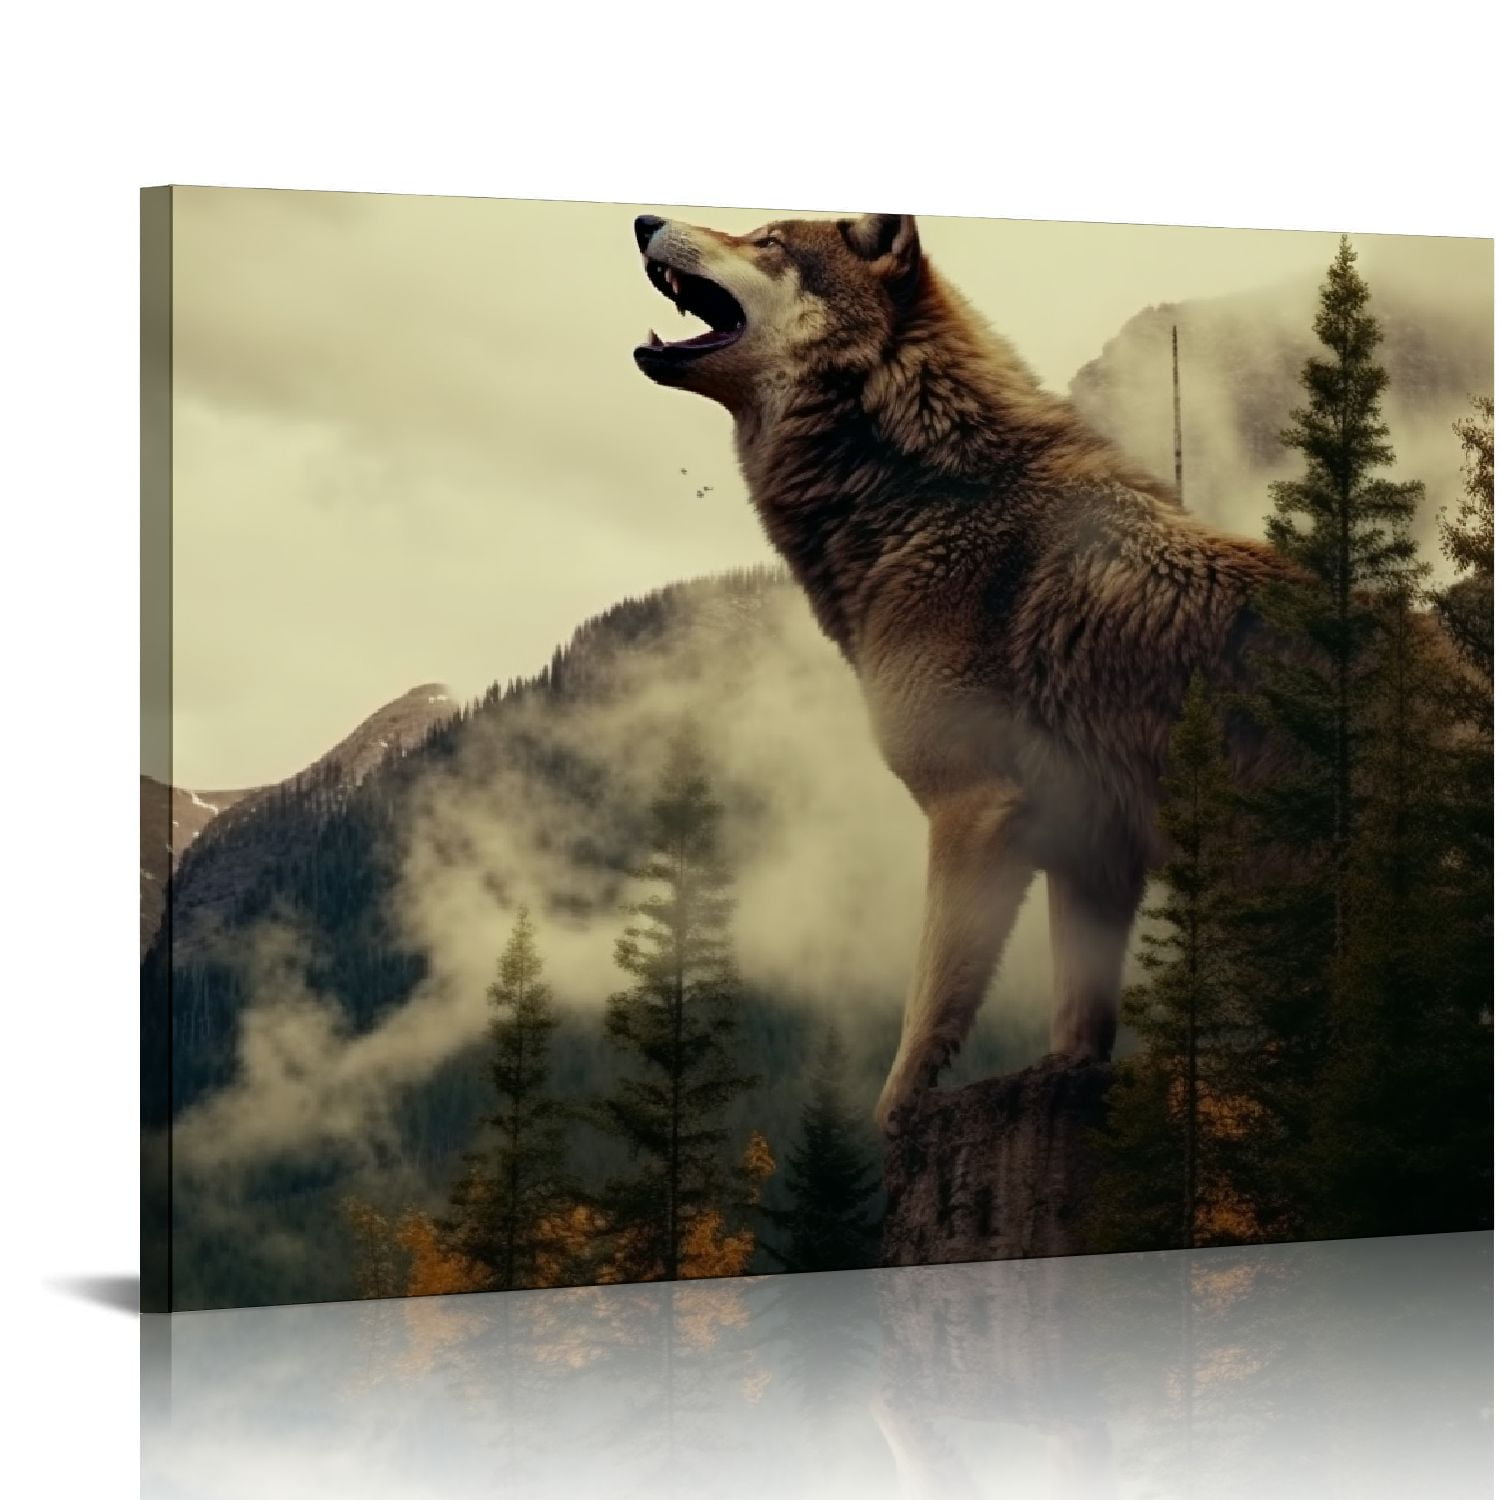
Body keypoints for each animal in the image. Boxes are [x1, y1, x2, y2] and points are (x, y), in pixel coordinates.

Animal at [631, 210, 1290, 1134]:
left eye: (767, 239)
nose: (644, 220)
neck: (921, 489)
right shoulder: (1091, 849)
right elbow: (1074, 1025)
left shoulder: (972, 809)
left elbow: (924, 1014)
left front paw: (892, 1124)